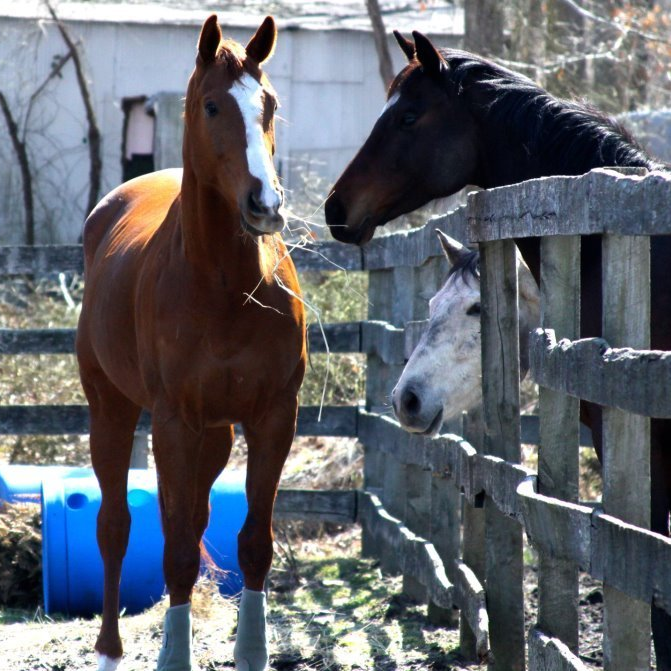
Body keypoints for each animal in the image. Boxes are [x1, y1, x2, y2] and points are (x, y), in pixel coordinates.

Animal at [76, 15, 306, 671]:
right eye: (211, 106)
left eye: (269, 105)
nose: (265, 204)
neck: (226, 287)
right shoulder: (173, 421)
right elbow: (174, 549)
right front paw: (173, 654)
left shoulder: (274, 416)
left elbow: (253, 543)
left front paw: (251, 653)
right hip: (112, 411)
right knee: (115, 527)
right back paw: (109, 649)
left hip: (216, 433)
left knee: (195, 516)